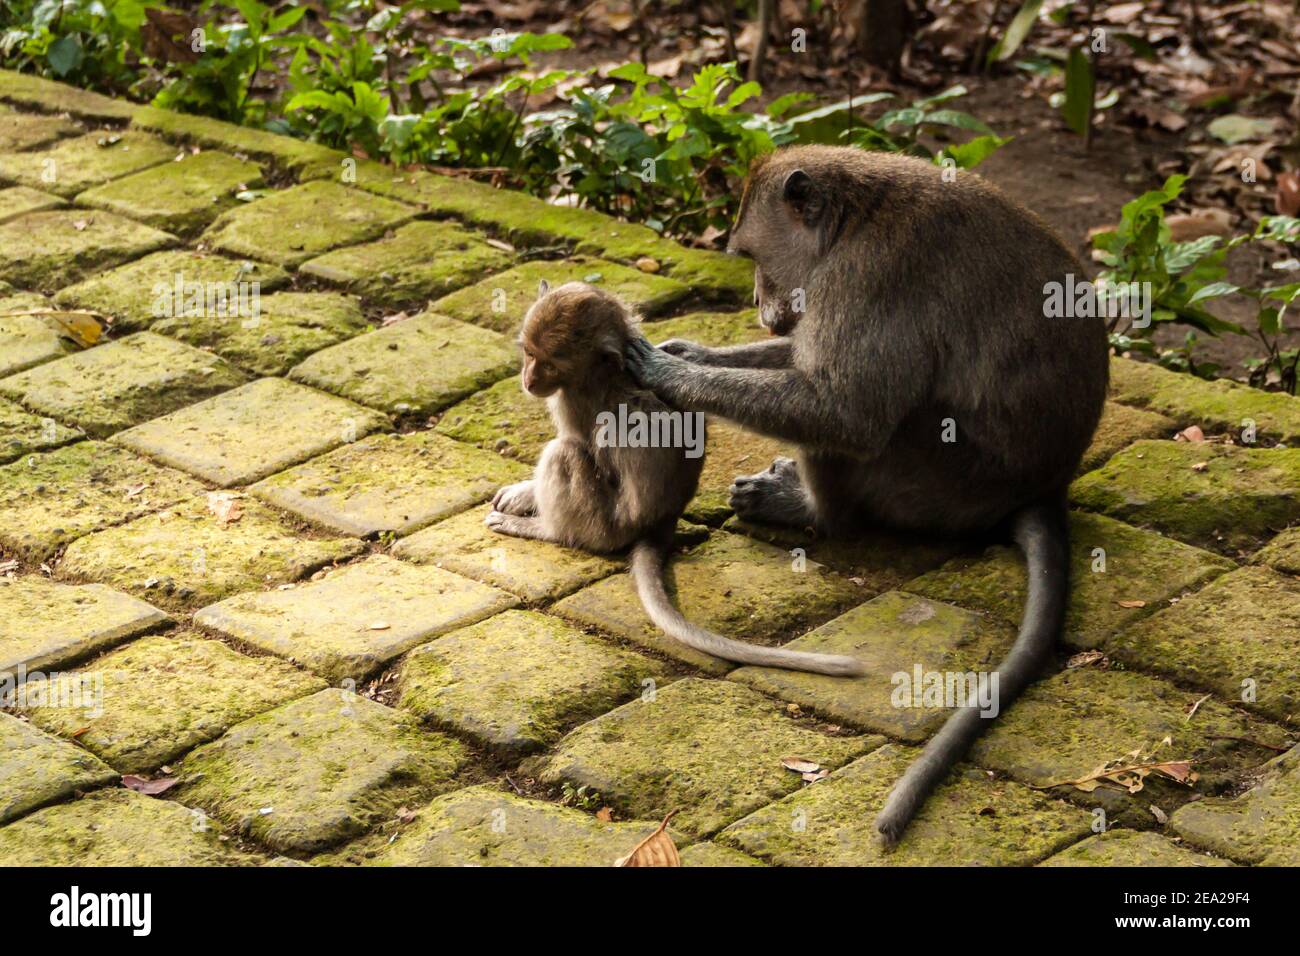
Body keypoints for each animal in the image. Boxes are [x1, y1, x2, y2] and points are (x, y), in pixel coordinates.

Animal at [485, 280, 863, 677]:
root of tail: (659, 524)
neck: (600, 368)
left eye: (549, 363)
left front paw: (527, 498)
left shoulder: (572, 399)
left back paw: (547, 530)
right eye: (528, 353)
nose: (528, 379)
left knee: (566, 454)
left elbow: (578, 441)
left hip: (603, 523)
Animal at [624, 146, 1109, 844]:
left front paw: (668, 371)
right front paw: (690, 349)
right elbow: (804, 365)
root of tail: (1044, 488)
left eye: (753, 256)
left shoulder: (864, 280)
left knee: (868, 424)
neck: (852, 223)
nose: (759, 302)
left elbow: (845, 409)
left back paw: (813, 511)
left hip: (935, 477)